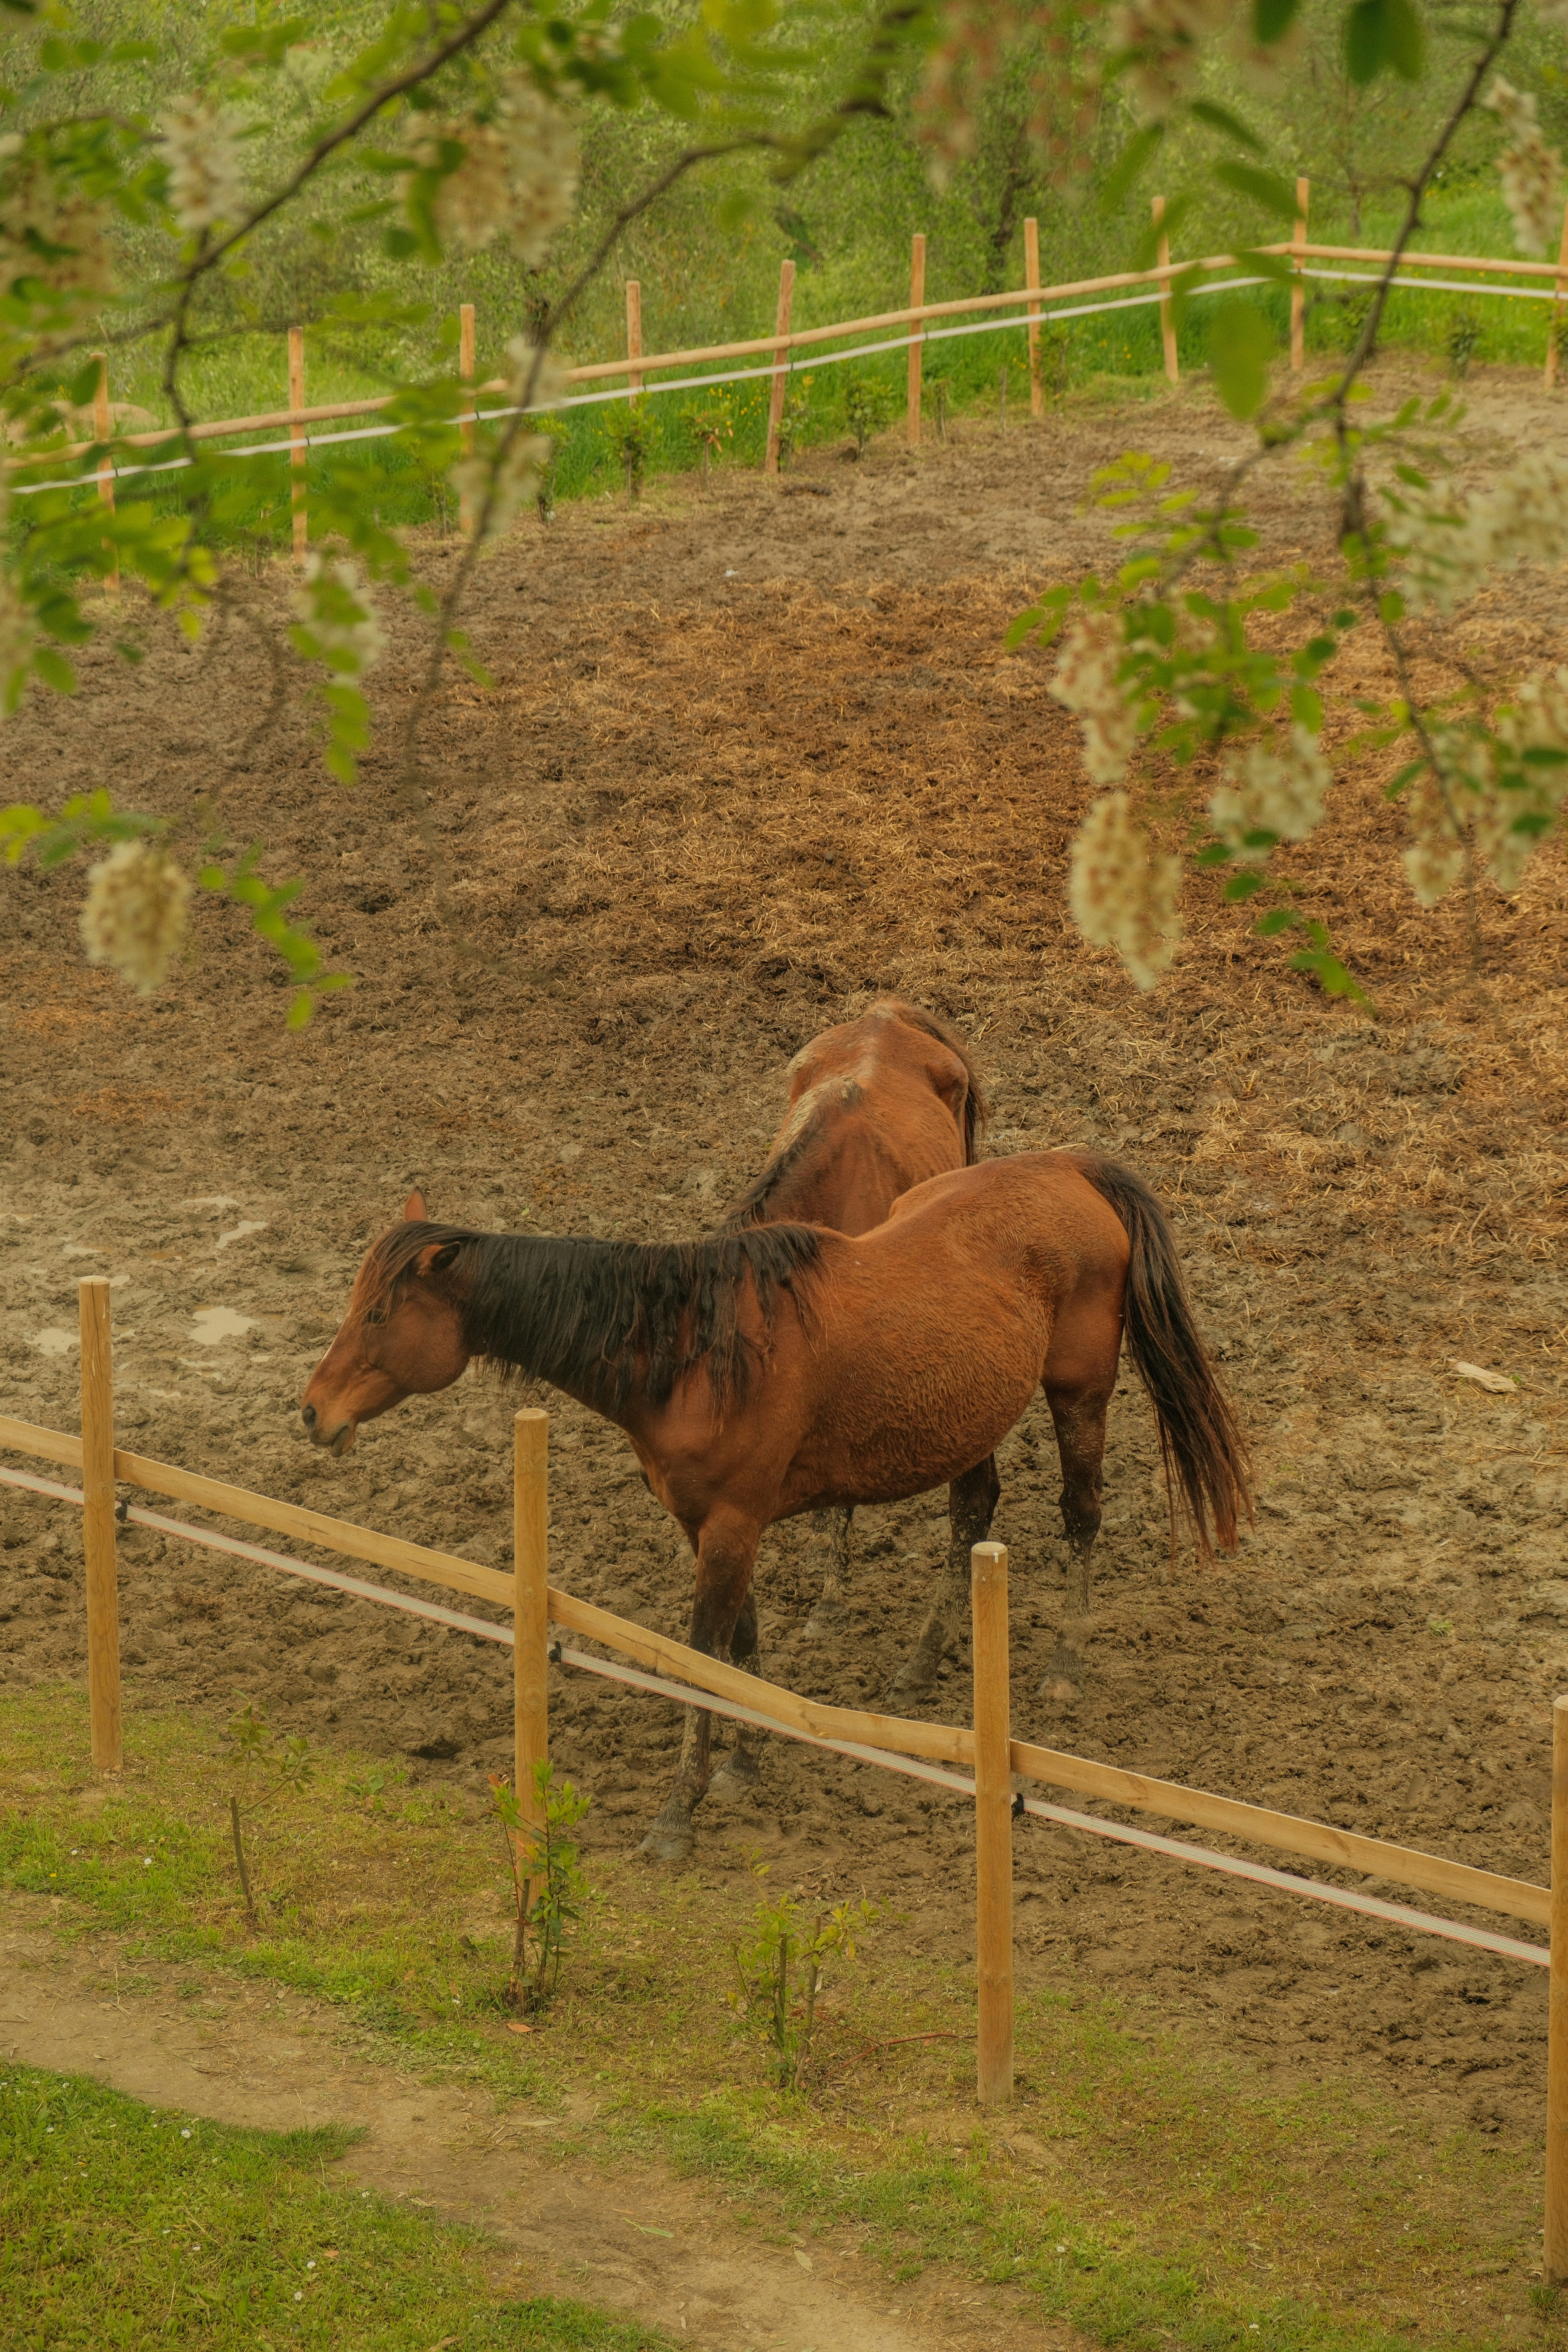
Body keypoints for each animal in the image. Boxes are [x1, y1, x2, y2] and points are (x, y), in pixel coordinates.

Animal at [300, 1151, 1250, 1863]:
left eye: (379, 1313)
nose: (313, 1412)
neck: (694, 1353)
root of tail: (1068, 1167)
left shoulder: (731, 1528)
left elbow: (702, 1657)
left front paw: (675, 1819)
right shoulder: (716, 1526)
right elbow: (742, 1650)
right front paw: (744, 1764)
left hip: (1079, 1393)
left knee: (1079, 1517)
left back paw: (1064, 1665)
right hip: (968, 1419)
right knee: (974, 1514)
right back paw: (922, 1661)